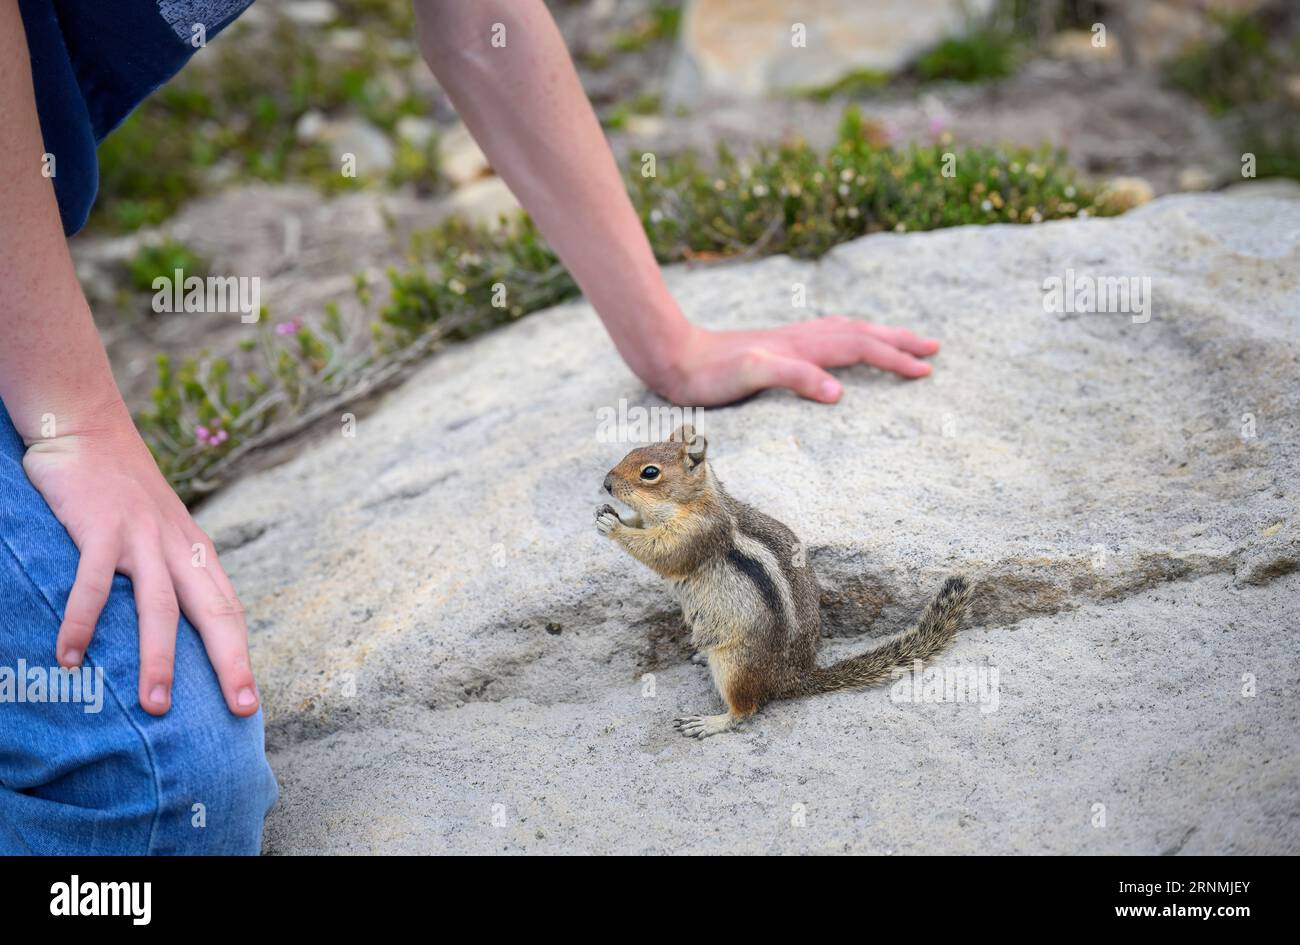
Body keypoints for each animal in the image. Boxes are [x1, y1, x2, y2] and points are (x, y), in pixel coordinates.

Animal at [596, 425, 972, 739]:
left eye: (649, 472)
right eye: (632, 450)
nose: (606, 484)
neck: (694, 500)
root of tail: (795, 677)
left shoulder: (696, 534)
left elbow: (662, 553)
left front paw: (612, 526)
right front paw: (609, 514)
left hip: (735, 664)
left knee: (747, 708)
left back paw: (711, 722)